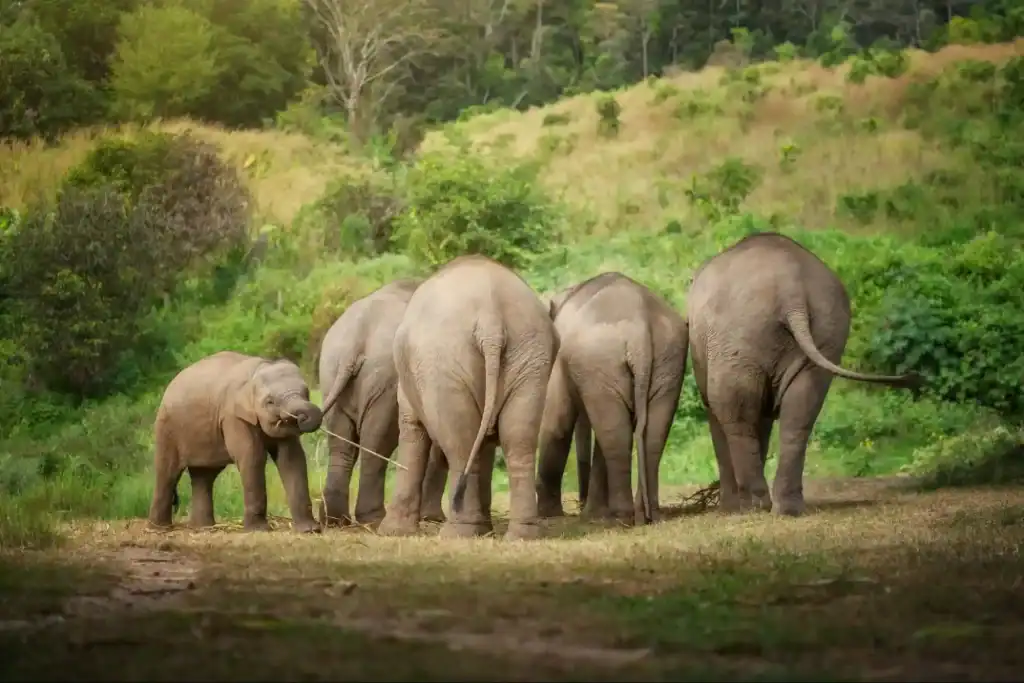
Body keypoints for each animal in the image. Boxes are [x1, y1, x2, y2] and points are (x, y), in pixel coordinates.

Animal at [147, 351, 323, 533]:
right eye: (270, 402)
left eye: (306, 392)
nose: (301, 418)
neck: (259, 368)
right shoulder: (234, 416)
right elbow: (253, 457)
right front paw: (258, 530)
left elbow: (291, 459)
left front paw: (309, 530)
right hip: (167, 428)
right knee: (168, 472)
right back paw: (158, 528)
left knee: (203, 476)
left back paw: (203, 527)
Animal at [317, 278, 448, 527]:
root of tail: (354, 343)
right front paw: (434, 519)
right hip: (384, 384)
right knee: (376, 443)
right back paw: (373, 519)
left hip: (331, 373)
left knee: (342, 444)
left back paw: (337, 519)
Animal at [377, 254, 559, 541]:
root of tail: (490, 322)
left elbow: (412, 429)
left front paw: (391, 532)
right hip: (530, 356)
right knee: (518, 440)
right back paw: (521, 535)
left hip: (444, 364)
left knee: (461, 446)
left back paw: (457, 532)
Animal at [536, 272, 688, 526]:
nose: (580, 502)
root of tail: (641, 326)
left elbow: (556, 420)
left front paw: (549, 514)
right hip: (668, 360)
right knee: (647, 432)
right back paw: (648, 515)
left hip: (603, 358)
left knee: (616, 434)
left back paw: (622, 517)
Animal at [687, 232, 923, 516]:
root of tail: (792, 294)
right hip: (827, 328)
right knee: (801, 410)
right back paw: (785, 508)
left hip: (738, 334)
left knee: (734, 410)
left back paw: (754, 506)